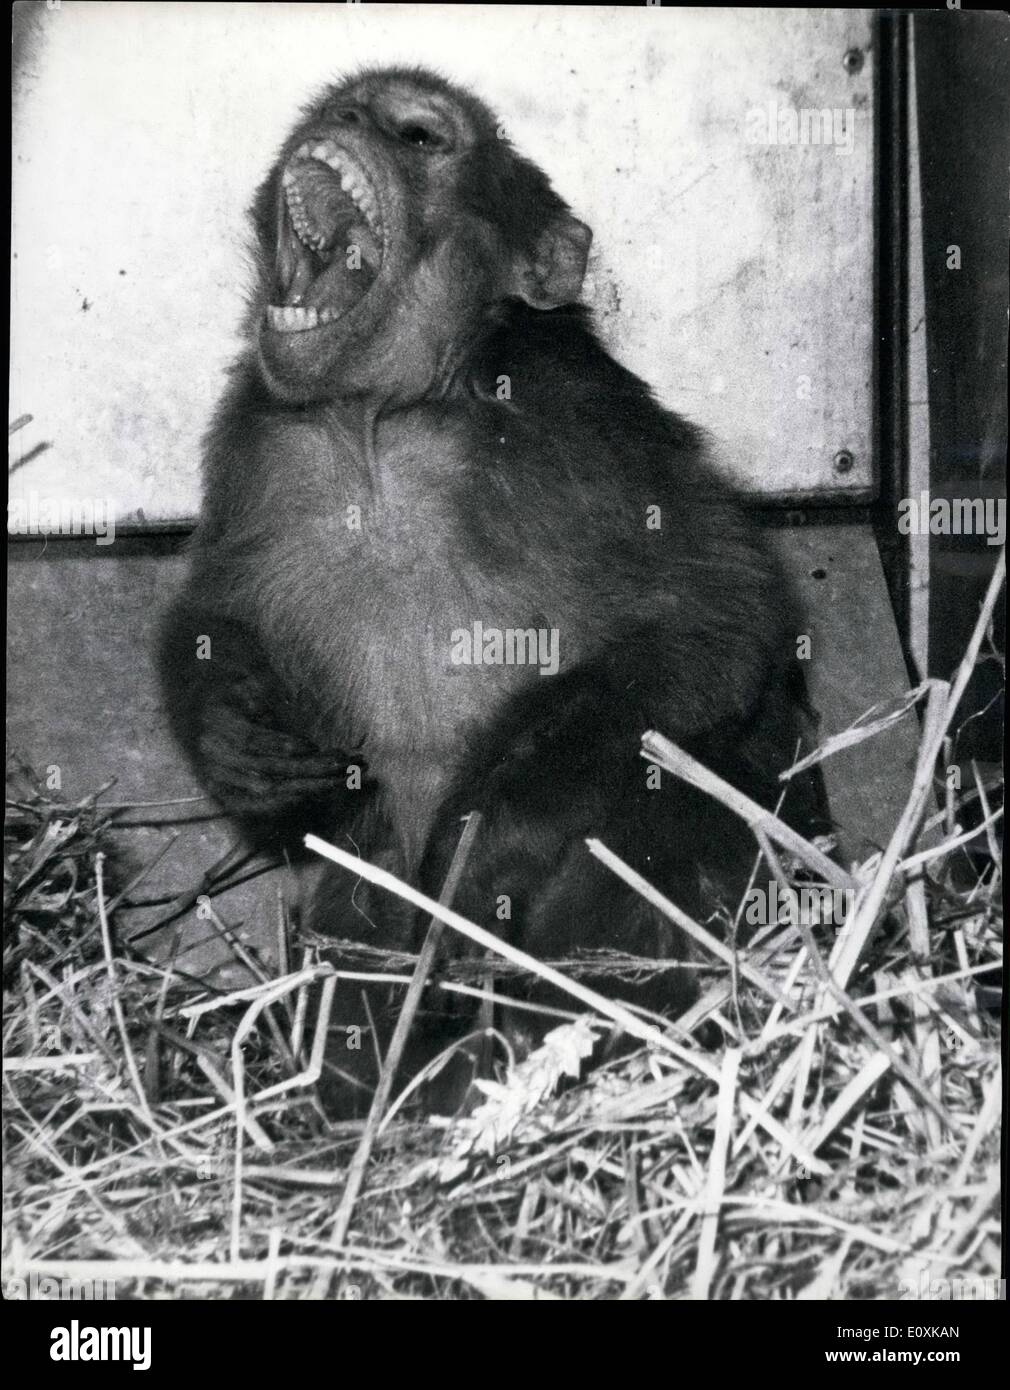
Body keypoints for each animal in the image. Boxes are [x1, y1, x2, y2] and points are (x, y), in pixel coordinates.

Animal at [159, 67, 820, 1107]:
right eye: (344, 107)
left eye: (422, 136)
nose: (348, 118)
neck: (381, 427)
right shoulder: (256, 435)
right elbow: (212, 611)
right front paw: (236, 730)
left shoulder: (575, 421)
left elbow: (718, 624)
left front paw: (479, 843)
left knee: (664, 802)